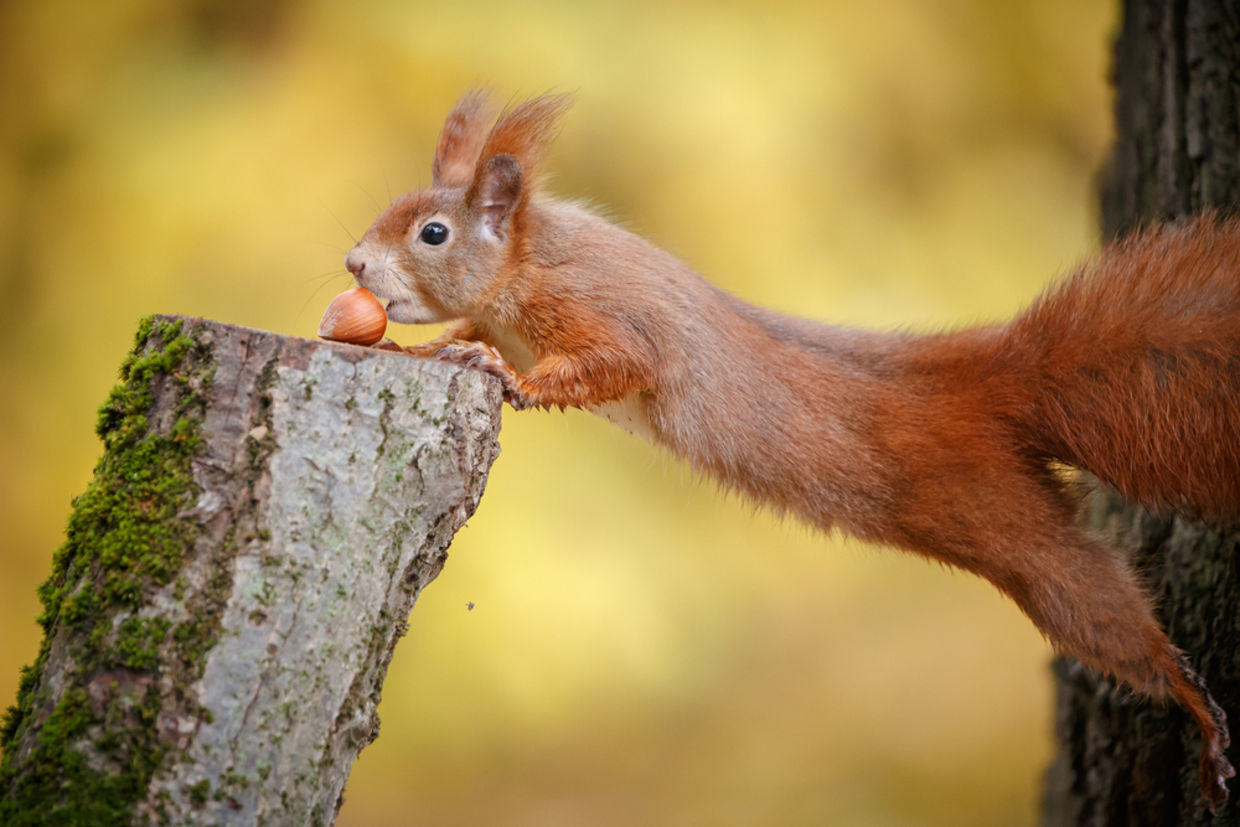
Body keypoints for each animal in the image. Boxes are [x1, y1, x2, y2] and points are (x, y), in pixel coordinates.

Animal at [344, 90, 1240, 810]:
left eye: (433, 232)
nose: (352, 262)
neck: (531, 256)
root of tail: (994, 381)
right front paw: (441, 348)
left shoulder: (604, 313)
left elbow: (612, 362)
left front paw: (500, 372)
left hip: (1015, 536)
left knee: (1099, 603)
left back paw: (1199, 714)